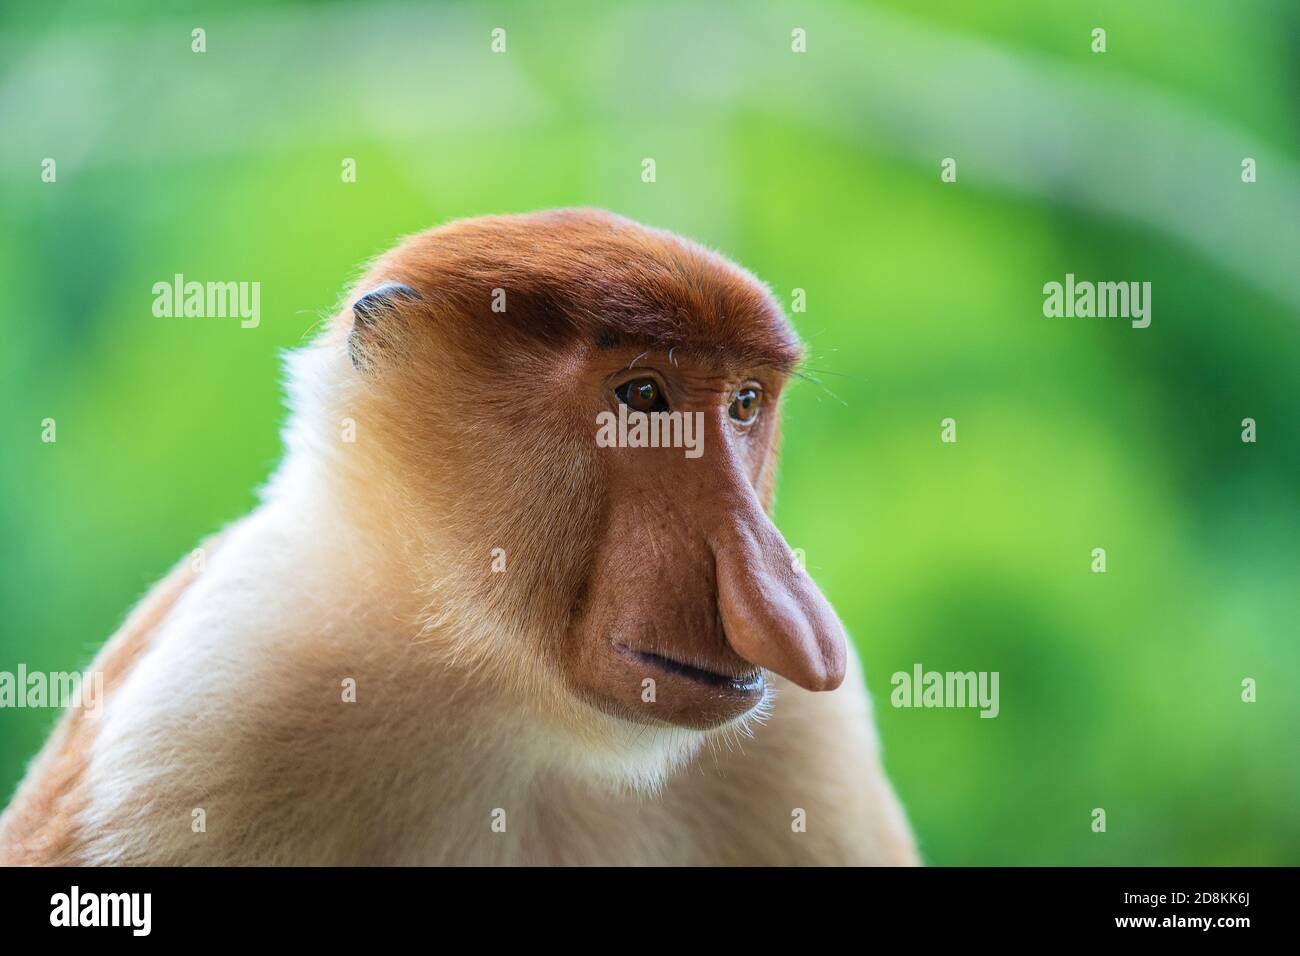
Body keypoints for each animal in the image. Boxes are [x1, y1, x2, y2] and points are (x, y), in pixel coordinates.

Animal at [0, 209, 918, 866]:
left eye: (743, 404)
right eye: (644, 395)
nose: (791, 616)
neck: (508, 699)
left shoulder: (807, 743)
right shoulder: (209, 719)